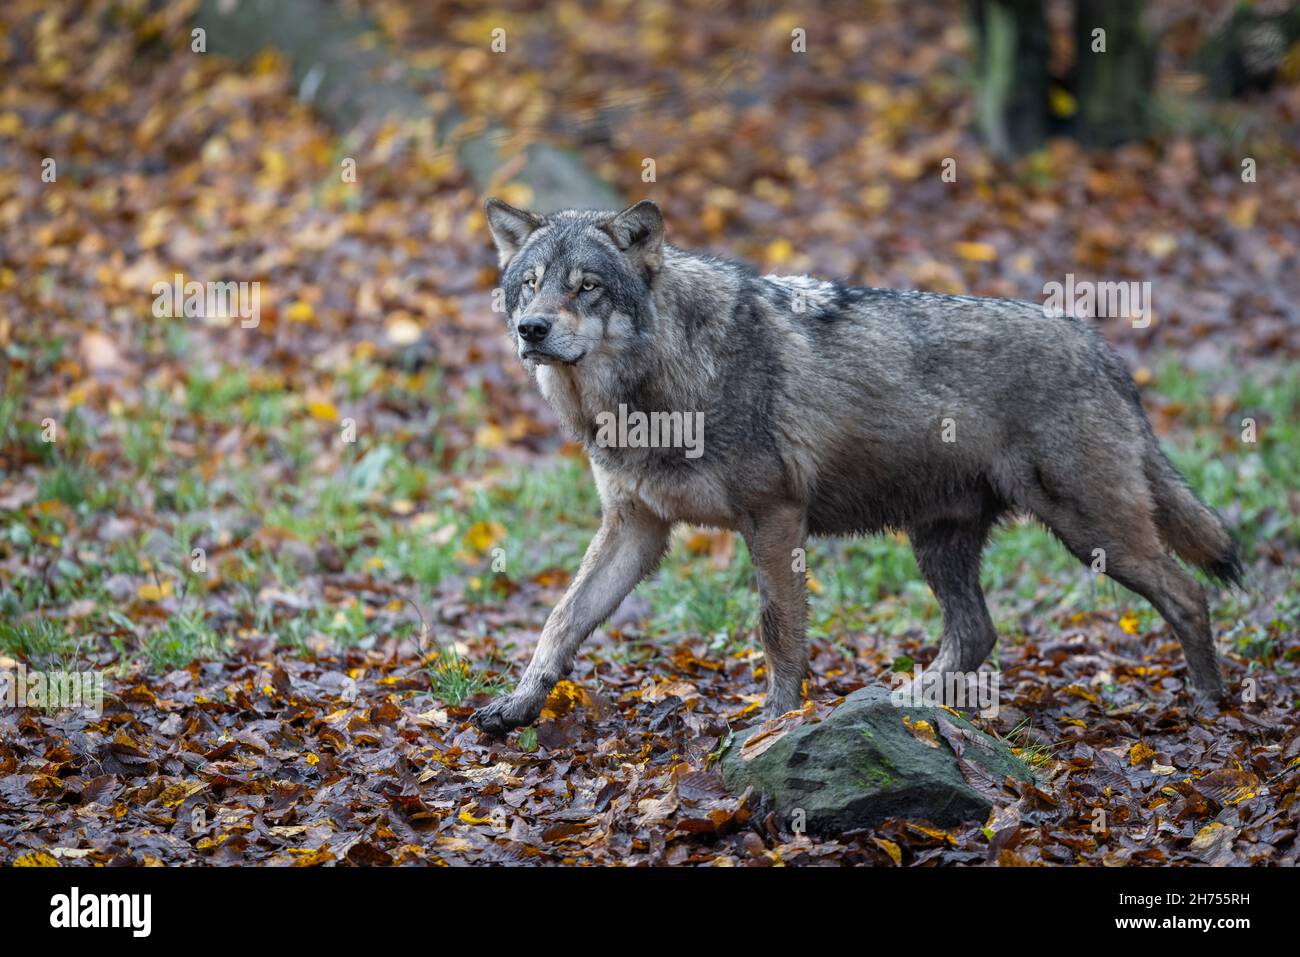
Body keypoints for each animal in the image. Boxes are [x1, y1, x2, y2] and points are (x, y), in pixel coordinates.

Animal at [471, 197, 1241, 734]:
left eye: (586, 286)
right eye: (530, 283)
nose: (531, 329)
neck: (654, 392)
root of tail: (1102, 348)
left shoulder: (775, 518)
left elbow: (777, 630)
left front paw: (775, 720)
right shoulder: (634, 527)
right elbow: (561, 619)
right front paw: (519, 704)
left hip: (1090, 532)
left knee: (1187, 593)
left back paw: (1209, 703)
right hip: (940, 542)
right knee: (977, 633)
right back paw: (905, 703)